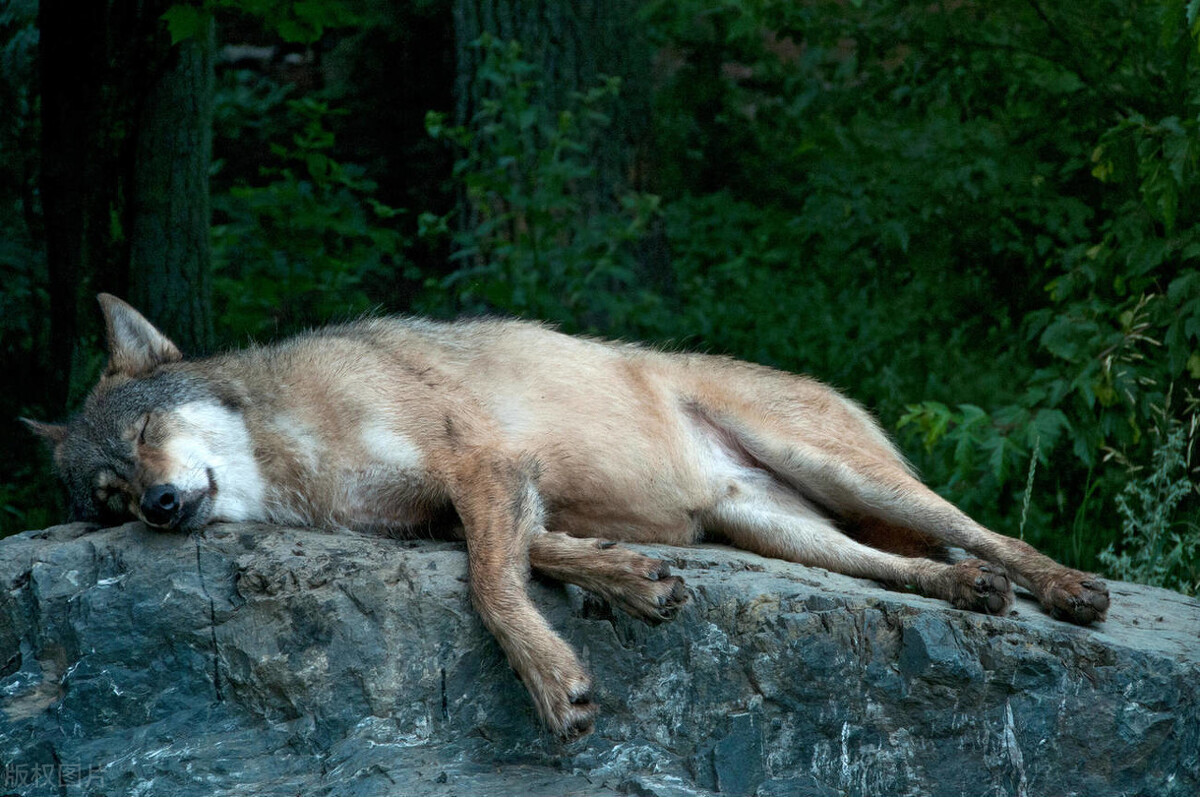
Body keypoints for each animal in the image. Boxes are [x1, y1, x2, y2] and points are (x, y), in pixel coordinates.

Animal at [25, 294, 1109, 739]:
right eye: (110, 498)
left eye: (148, 434)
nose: (162, 505)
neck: (296, 454)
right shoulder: (460, 503)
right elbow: (539, 553)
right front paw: (632, 579)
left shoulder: (486, 464)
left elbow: (492, 582)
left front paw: (553, 683)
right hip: (776, 528)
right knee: (898, 564)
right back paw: (965, 589)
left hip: (855, 475)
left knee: (987, 528)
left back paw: (1063, 589)